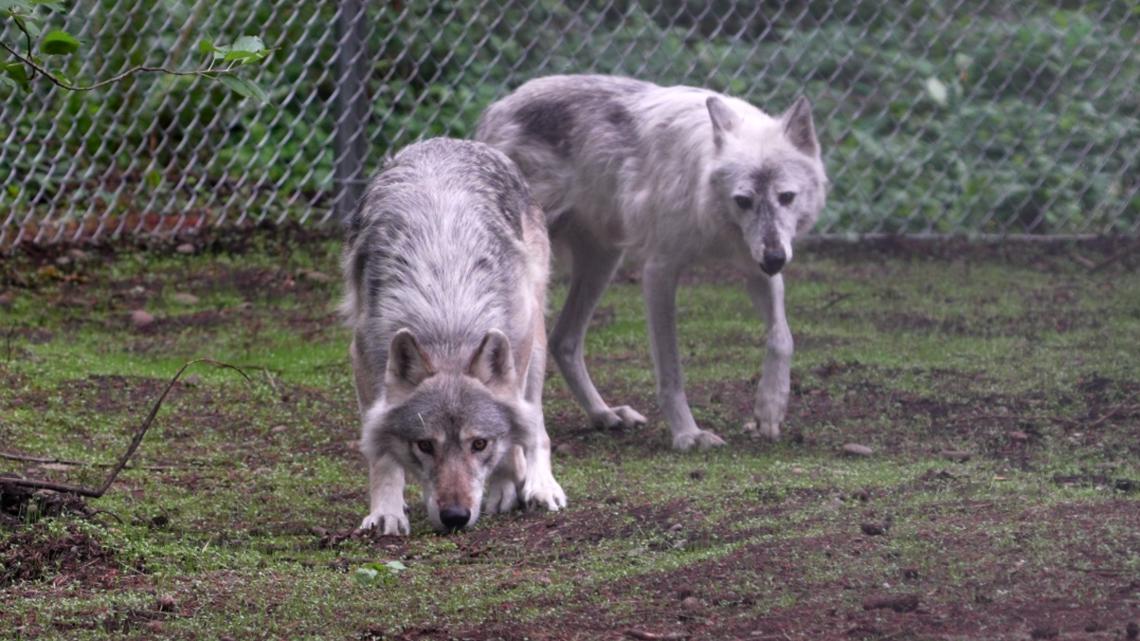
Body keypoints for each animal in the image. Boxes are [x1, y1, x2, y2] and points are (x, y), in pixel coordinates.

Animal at [340, 138, 566, 535]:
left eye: (479, 444)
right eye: (425, 446)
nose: (456, 517)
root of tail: (453, 141)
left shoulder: (518, 346)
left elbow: (515, 432)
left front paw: (506, 486)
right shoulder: (364, 359)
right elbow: (382, 454)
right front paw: (386, 512)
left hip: (535, 342)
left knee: (535, 423)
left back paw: (539, 486)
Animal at [476, 75, 827, 449]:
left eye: (786, 197)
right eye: (743, 201)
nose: (775, 259)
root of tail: (496, 109)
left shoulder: (756, 264)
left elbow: (783, 338)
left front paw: (770, 410)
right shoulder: (660, 271)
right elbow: (671, 371)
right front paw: (688, 434)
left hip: (603, 262)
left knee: (563, 341)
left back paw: (604, 414)